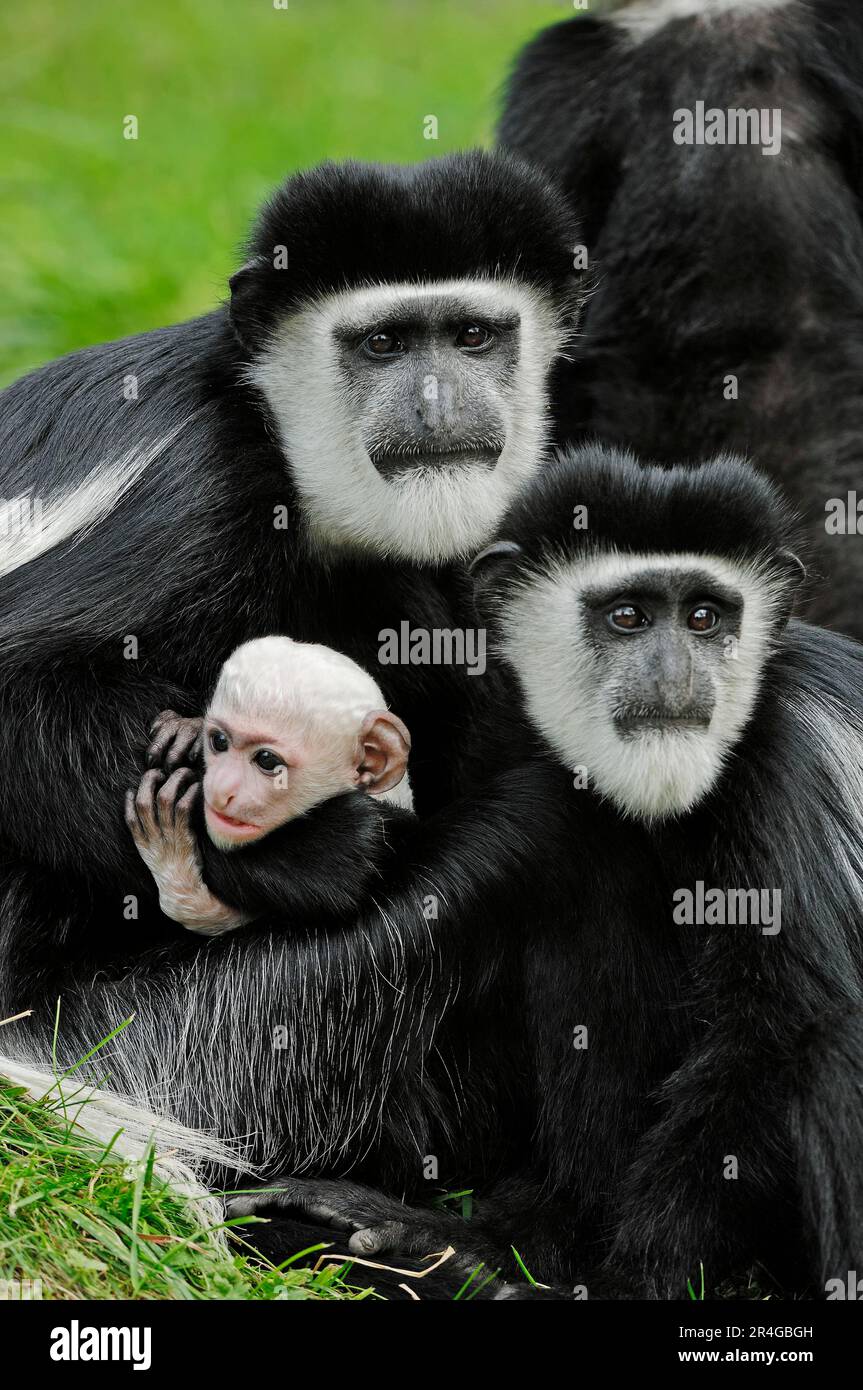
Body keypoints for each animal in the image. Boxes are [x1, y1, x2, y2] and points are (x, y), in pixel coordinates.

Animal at [231, 444, 863, 1299]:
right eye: (626, 616)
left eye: (705, 617)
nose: (673, 674)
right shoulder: (504, 737)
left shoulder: (780, 761)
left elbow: (776, 1030)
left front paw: (628, 1281)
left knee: (825, 1042)